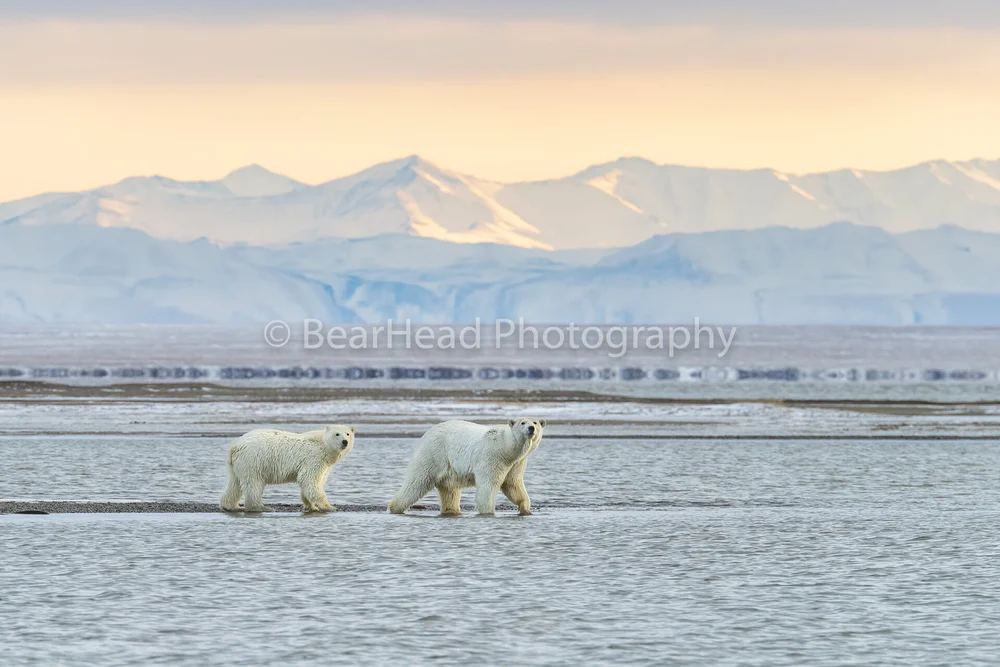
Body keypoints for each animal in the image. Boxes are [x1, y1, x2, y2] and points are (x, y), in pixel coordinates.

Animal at [220, 425, 355, 513]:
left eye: (348, 434)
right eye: (337, 434)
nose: (345, 442)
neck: (324, 446)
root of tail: (235, 445)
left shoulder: (324, 464)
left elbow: (312, 482)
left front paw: (311, 506)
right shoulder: (314, 458)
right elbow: (310, 481)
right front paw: (329, 507)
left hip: (237, 464)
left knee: (234, 483)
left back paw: (232, 506)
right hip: (254, 459)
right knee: (253, 483)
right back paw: (261, 507)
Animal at [388, 418, 545, 516]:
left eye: (535, 422)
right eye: (523, 422)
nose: (531, 428)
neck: (506, 447)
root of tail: (426, 434)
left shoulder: (516, 463)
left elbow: (513, 484)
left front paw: (526, 509)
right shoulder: (492, 456)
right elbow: (488, 485)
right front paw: (488, 511)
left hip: (450, 470)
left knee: (450, 491)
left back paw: (452, 510)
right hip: (434, 454)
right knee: (417, 482)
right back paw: (395, 508)